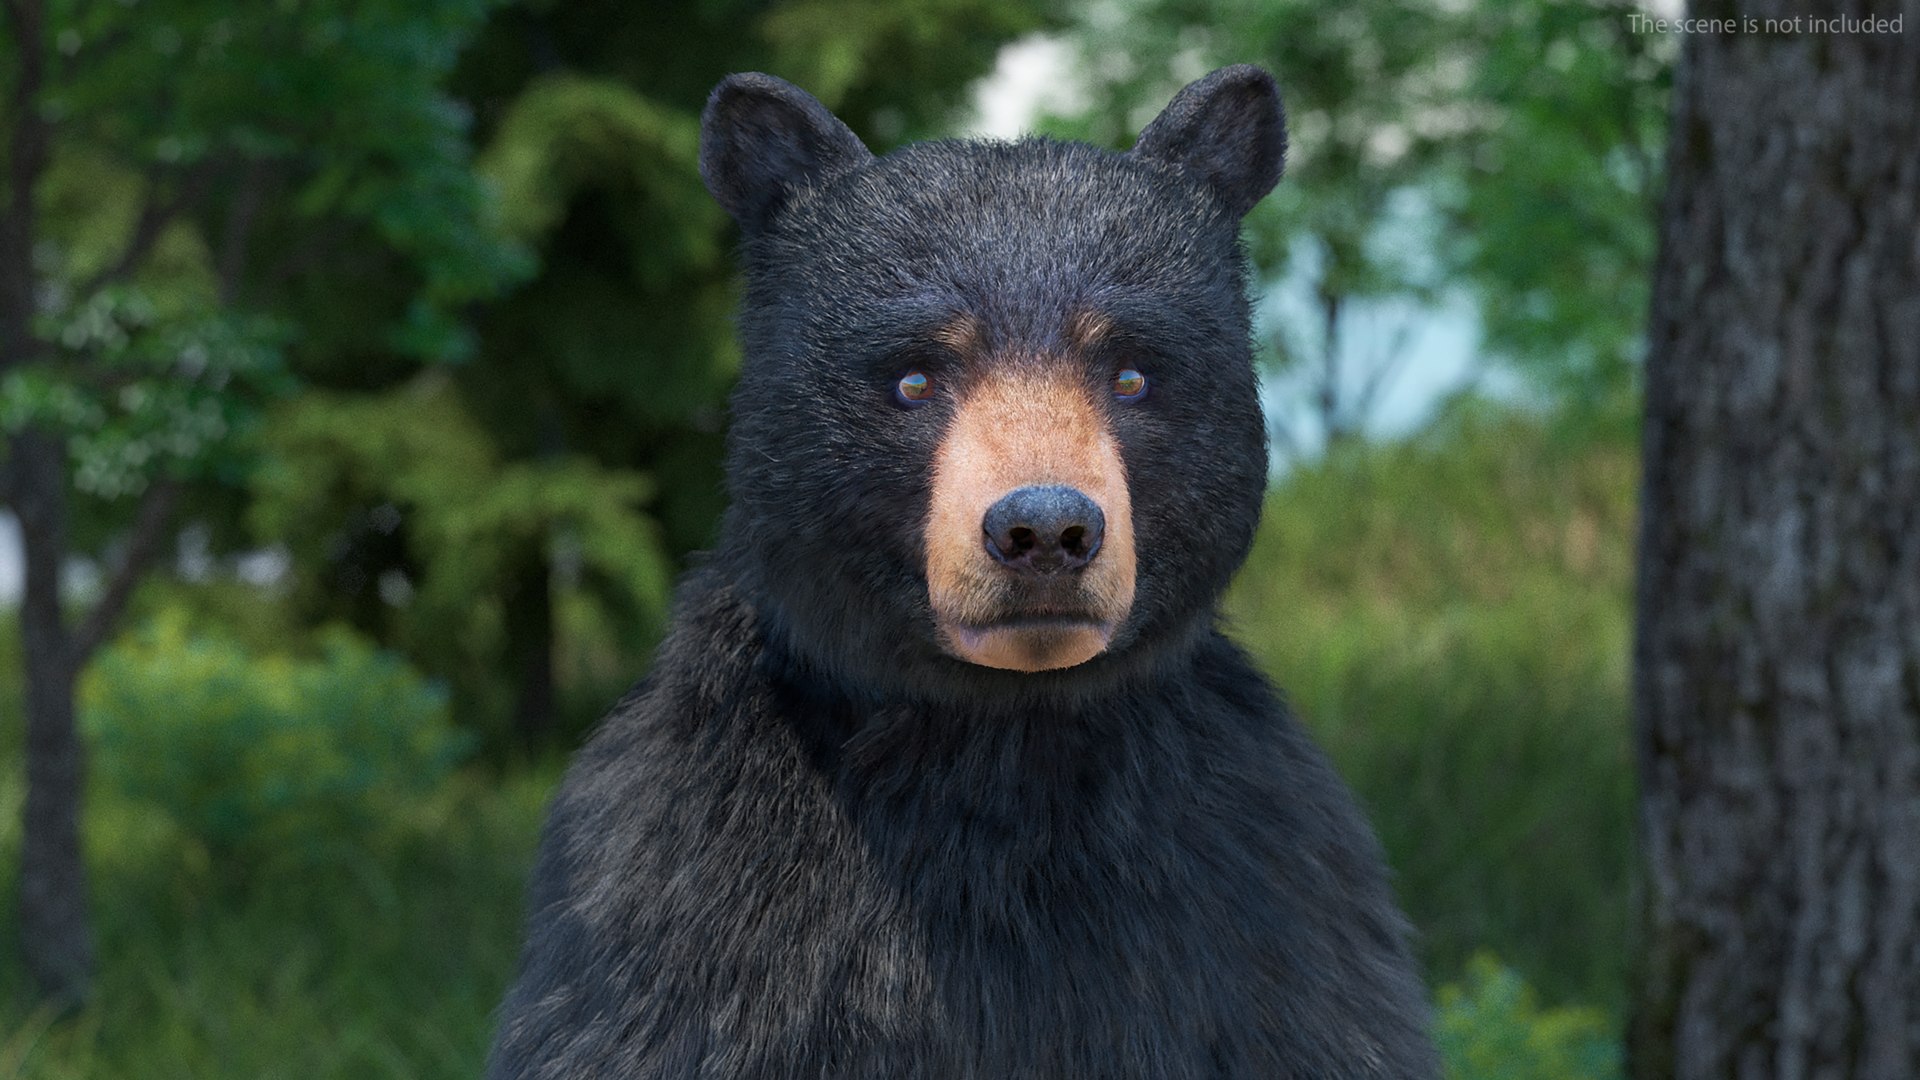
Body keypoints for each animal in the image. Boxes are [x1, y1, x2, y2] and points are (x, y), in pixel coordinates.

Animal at [488, 66, 1437, 1079]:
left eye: (1132, 374)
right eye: (914, 378)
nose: (1045, 529)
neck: (996, 739)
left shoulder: (1260, 888)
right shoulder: (687, 892)